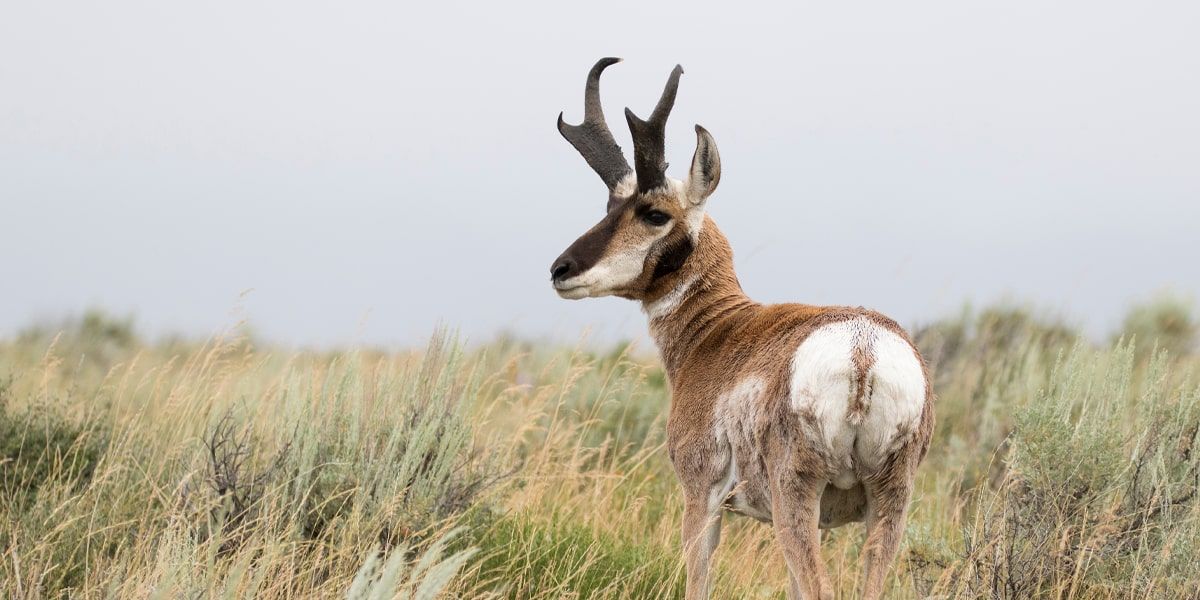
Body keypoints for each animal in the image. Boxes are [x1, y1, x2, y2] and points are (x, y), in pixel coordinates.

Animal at [549, 58, 935, 600]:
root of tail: (863, 349)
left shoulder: (700, 499)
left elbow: (698, 583)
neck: (720, 331)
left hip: (796, 497)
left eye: (653, 213)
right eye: (609, 207)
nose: (560, 270)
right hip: (887, 504)